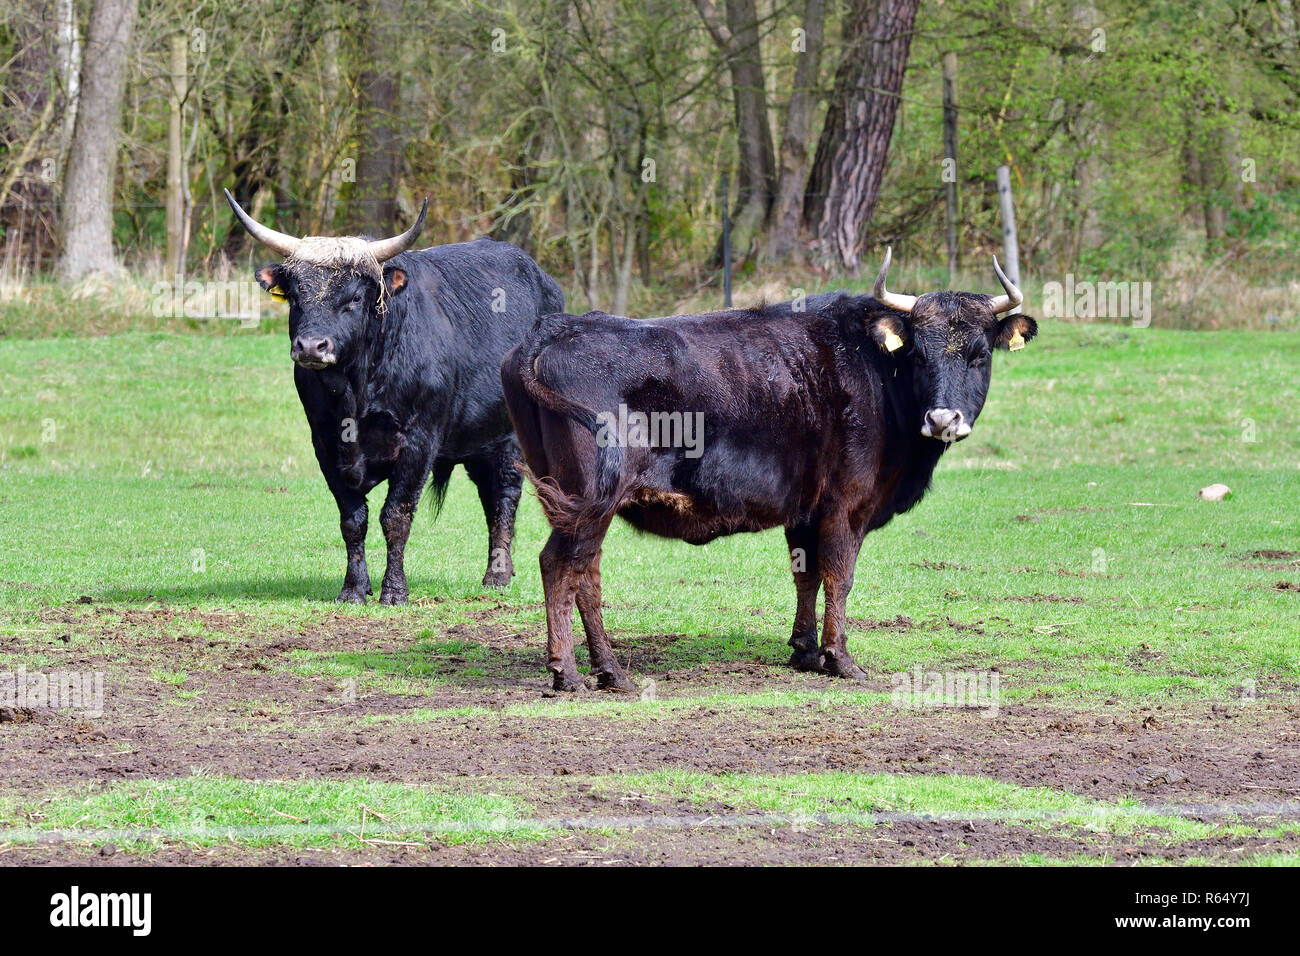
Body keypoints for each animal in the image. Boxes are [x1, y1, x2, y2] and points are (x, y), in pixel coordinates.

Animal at [226, 190, 564, 604]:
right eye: (295, 295)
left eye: (354, 297)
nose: (311, 346)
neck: (356, 391)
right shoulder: (325, 445)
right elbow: (352, 520)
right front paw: (354, 589)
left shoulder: (418, 442)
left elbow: (396, 516)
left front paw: (394, 591)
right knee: (490, 492)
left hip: (511, 437)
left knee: (504, 494)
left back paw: (497, 575)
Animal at [501, 249, 1036, 691]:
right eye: (918, 354)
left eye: (979, 354)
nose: (943, 419)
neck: (873, 369)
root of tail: (553, 330)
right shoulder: (847, 506)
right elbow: (839, 574)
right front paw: (840, 658)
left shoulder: (805, 510)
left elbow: (807, 574)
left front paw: (805, 652)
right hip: (591, 503)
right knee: (560, 566)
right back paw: (568, 672)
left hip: (582, 505)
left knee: (585, 577)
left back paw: (610, 670)